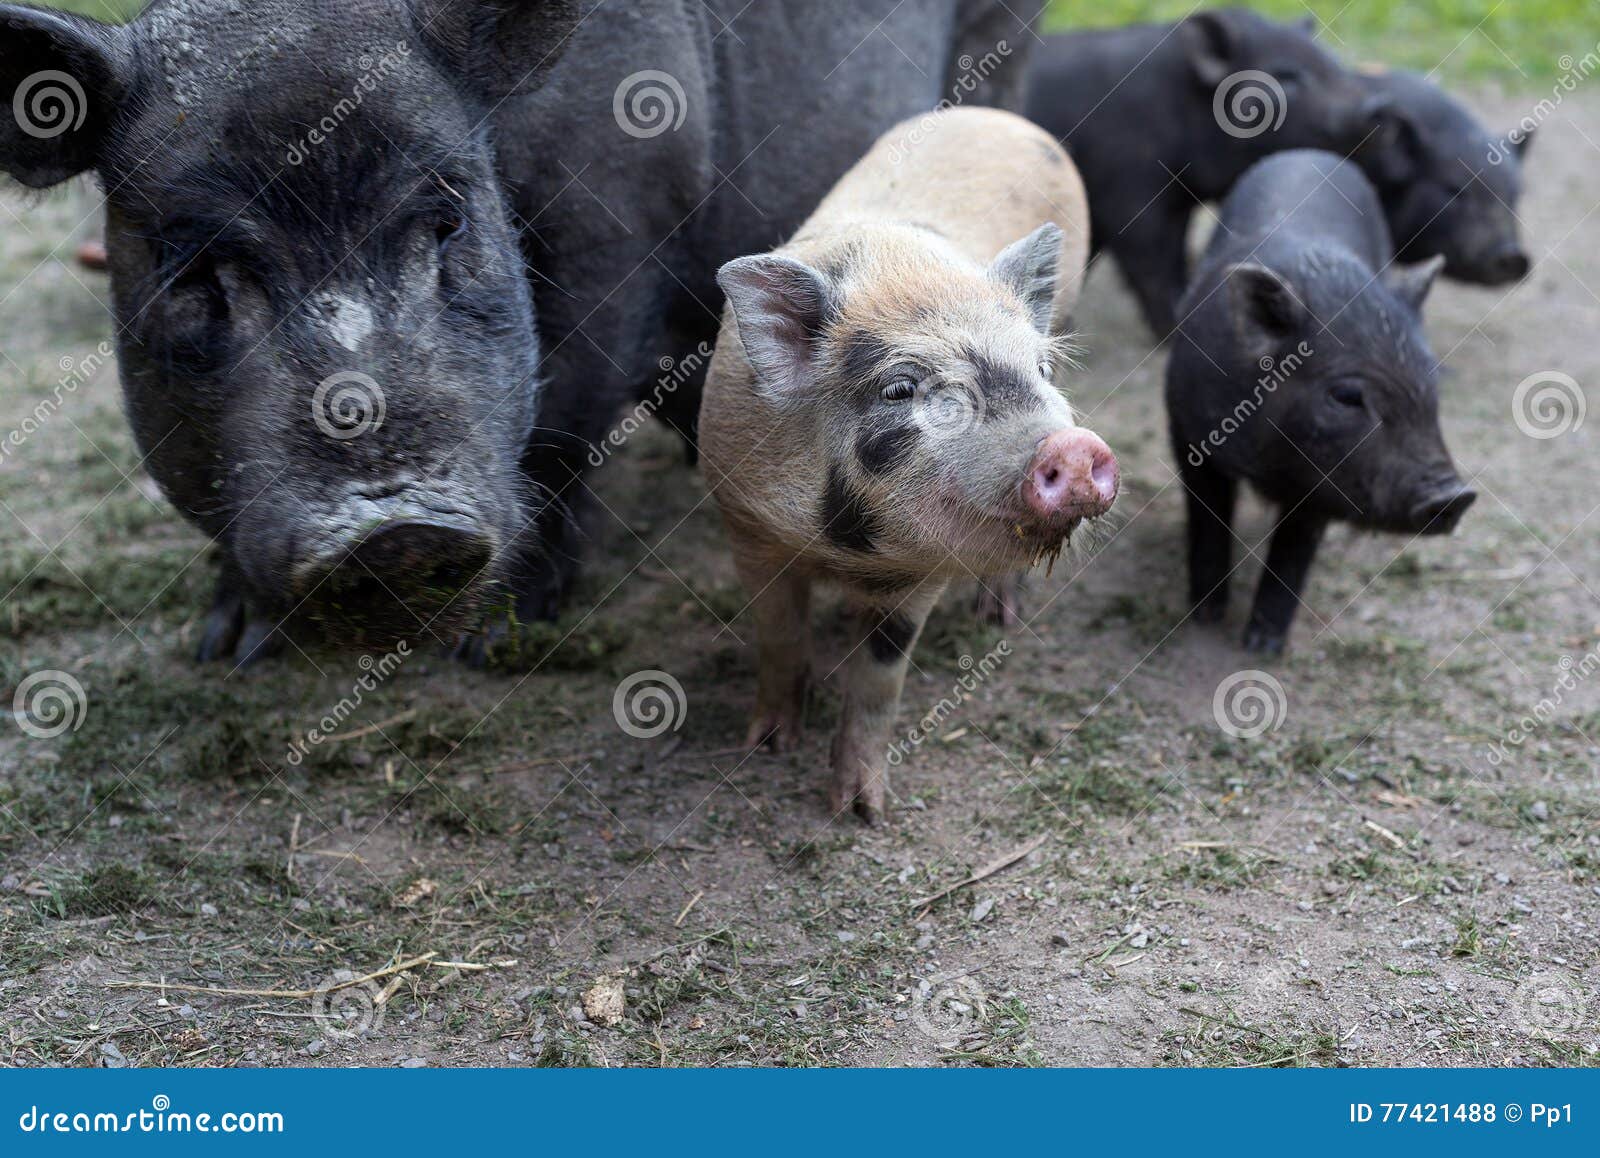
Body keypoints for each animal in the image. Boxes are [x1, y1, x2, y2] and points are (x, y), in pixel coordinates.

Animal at [0, 0, 1044, 662]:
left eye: (448, 218)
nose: (392, 529)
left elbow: (563, 420)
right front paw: (231, 653)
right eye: (194, 268)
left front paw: (496, 640)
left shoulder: (613, 226)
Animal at [700, 108, 1118, 823]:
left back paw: (996, 617)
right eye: (900, 388)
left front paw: (861, 812)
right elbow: (778, 636)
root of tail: (1003, 117)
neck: (844, 548)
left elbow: (879, 678)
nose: (1075, 448)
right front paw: (768, 747)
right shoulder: (744, 522)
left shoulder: (922, 575)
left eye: (1039, 369)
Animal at [1024, 9, 1377, 338]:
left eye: (1332, 62)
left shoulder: (1178, 202)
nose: (1371, 107)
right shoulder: (1130, 189)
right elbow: (1149, 259)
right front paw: (1171, 329)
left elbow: (1176, 255)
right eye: (1287, 74)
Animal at [1167, 150, 1475, 656]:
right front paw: (1205, 620)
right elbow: (1208, 522)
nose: (1454, 495)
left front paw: (1262, 648)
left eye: (1430, 381)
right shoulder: (1188, 432)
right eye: (1347, 396)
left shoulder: (1325, 480)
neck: (1266, 465)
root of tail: (1313, 154)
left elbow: (1294, 552)